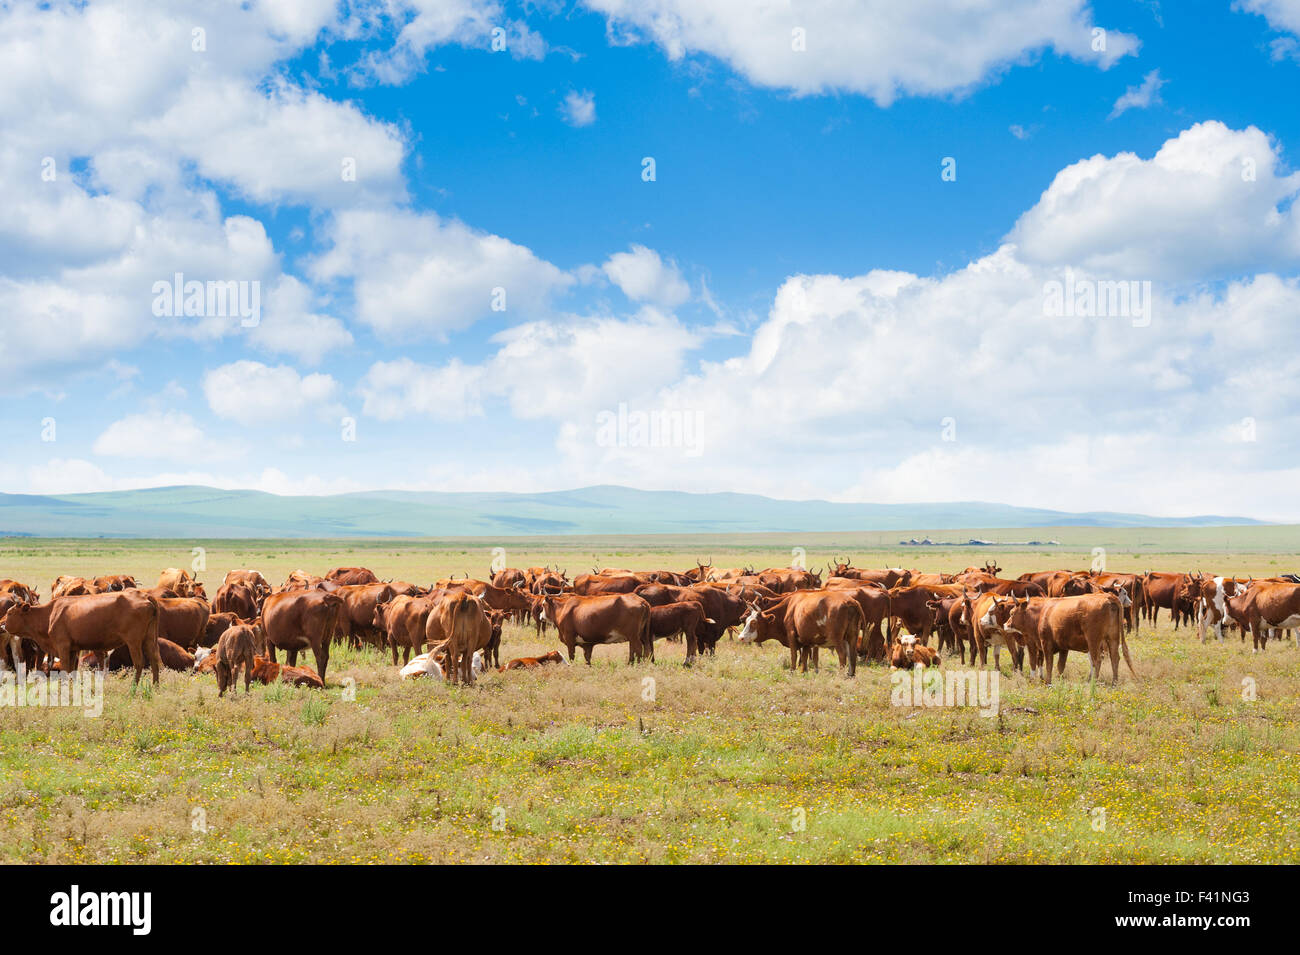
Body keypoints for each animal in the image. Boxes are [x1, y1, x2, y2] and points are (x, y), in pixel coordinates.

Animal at [1, 591, 161, 686]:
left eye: (9, 613)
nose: (1, 623)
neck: (50, 614)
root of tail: (144, 595)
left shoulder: (63, 647)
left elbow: (65, 668)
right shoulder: (74, 650)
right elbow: (72, 670)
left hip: (134, 641)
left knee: (139, 663)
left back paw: (133, 689)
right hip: (149, 639)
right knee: (154, 661)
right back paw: (155, 686)